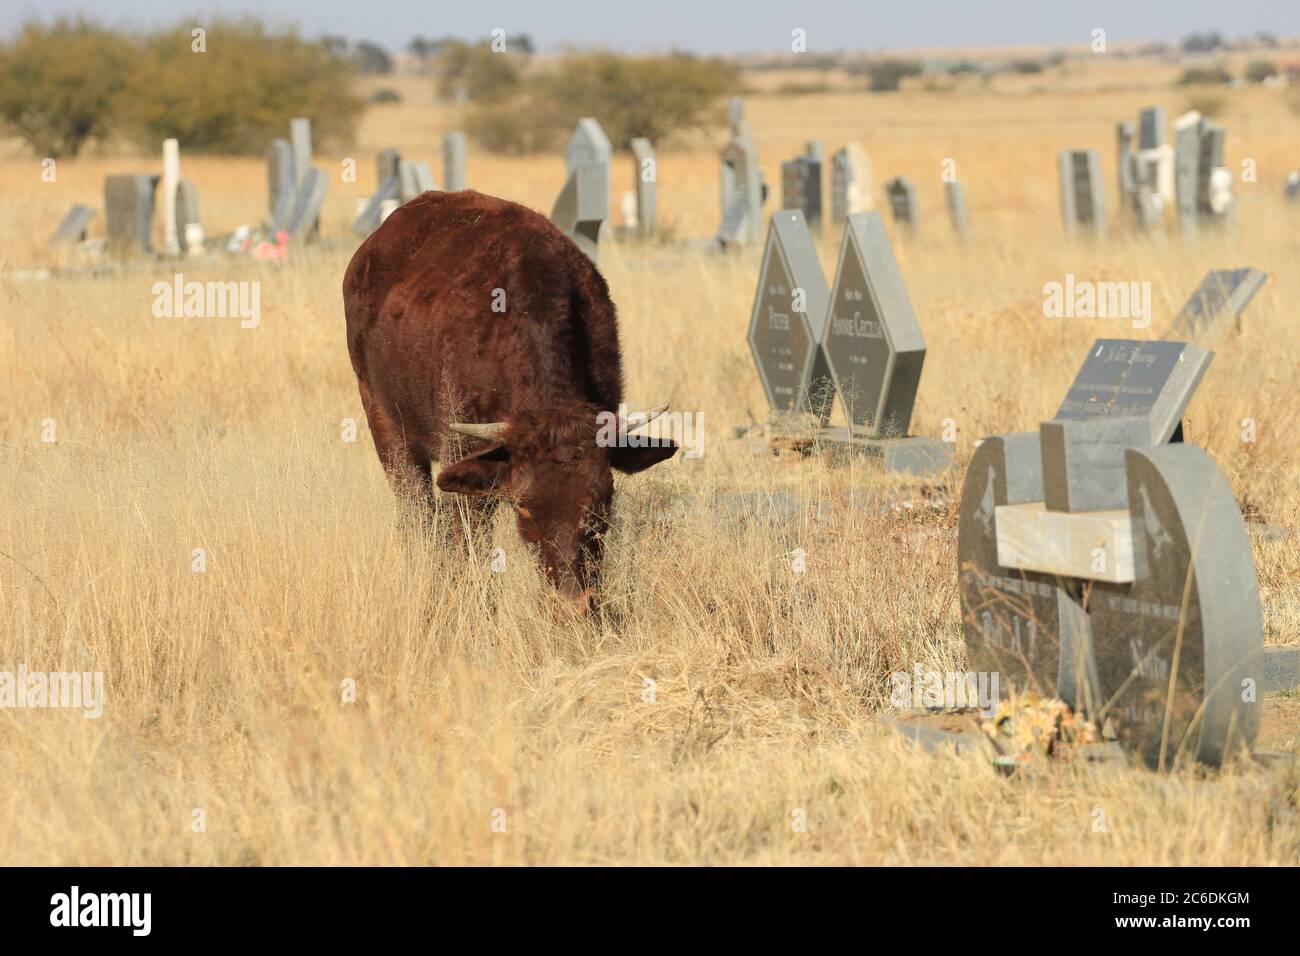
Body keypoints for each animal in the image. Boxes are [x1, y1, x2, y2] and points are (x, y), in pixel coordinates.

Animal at [342, 190, 677, 610]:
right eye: (524, 506)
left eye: (602, 502)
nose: (571, 604)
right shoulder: (463, 460)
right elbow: (468, 542)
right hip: (386, 427)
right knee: (417, 511)